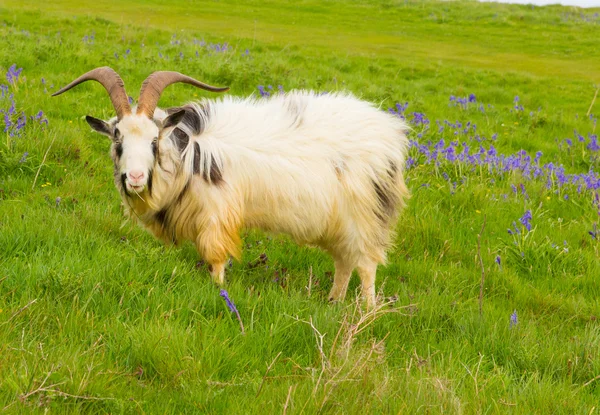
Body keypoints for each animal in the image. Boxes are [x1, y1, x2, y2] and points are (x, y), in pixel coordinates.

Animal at [54, 66, 410, 308]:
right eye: (118, 140)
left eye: (154, 140)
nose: (136, 177)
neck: (187, 156)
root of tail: (391, 136)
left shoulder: (216, 214)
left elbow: (216, 257)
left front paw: (218, 291)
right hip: (339, 223)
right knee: (345, 262)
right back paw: (333, 301)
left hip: (364, 215)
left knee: (365, 265)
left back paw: (365, 312)